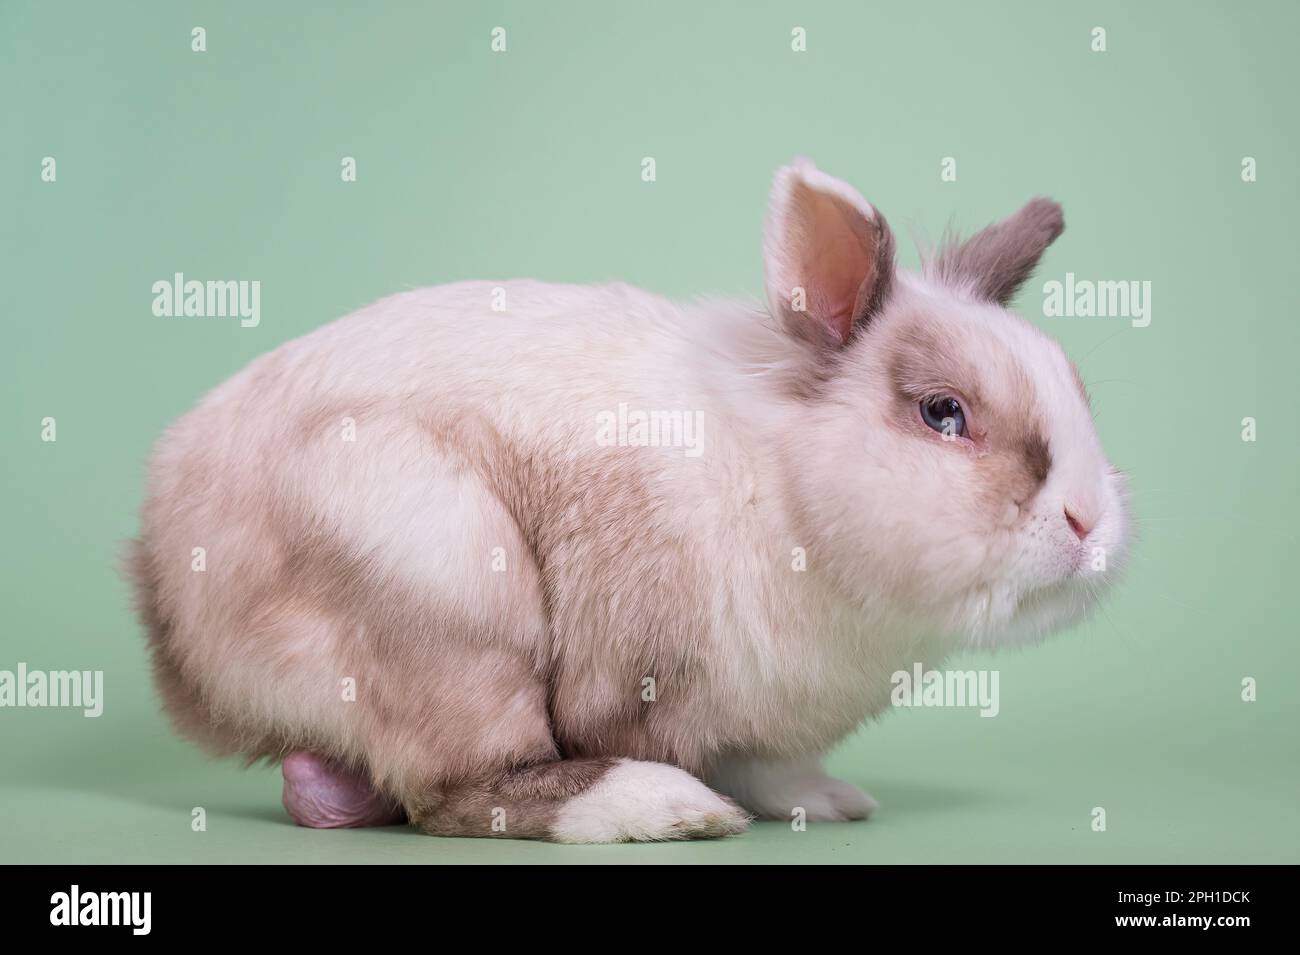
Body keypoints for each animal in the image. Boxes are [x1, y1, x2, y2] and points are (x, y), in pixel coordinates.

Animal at [128, 158, 1129, 842]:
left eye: (1079, 389)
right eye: (943, 412)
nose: (1090, 523)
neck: (781, 494)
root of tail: (167, 599)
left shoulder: (755, 720)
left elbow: (771, 763)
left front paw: (826, 798)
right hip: (446, 585)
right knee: (460, 790)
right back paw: (667, 807)